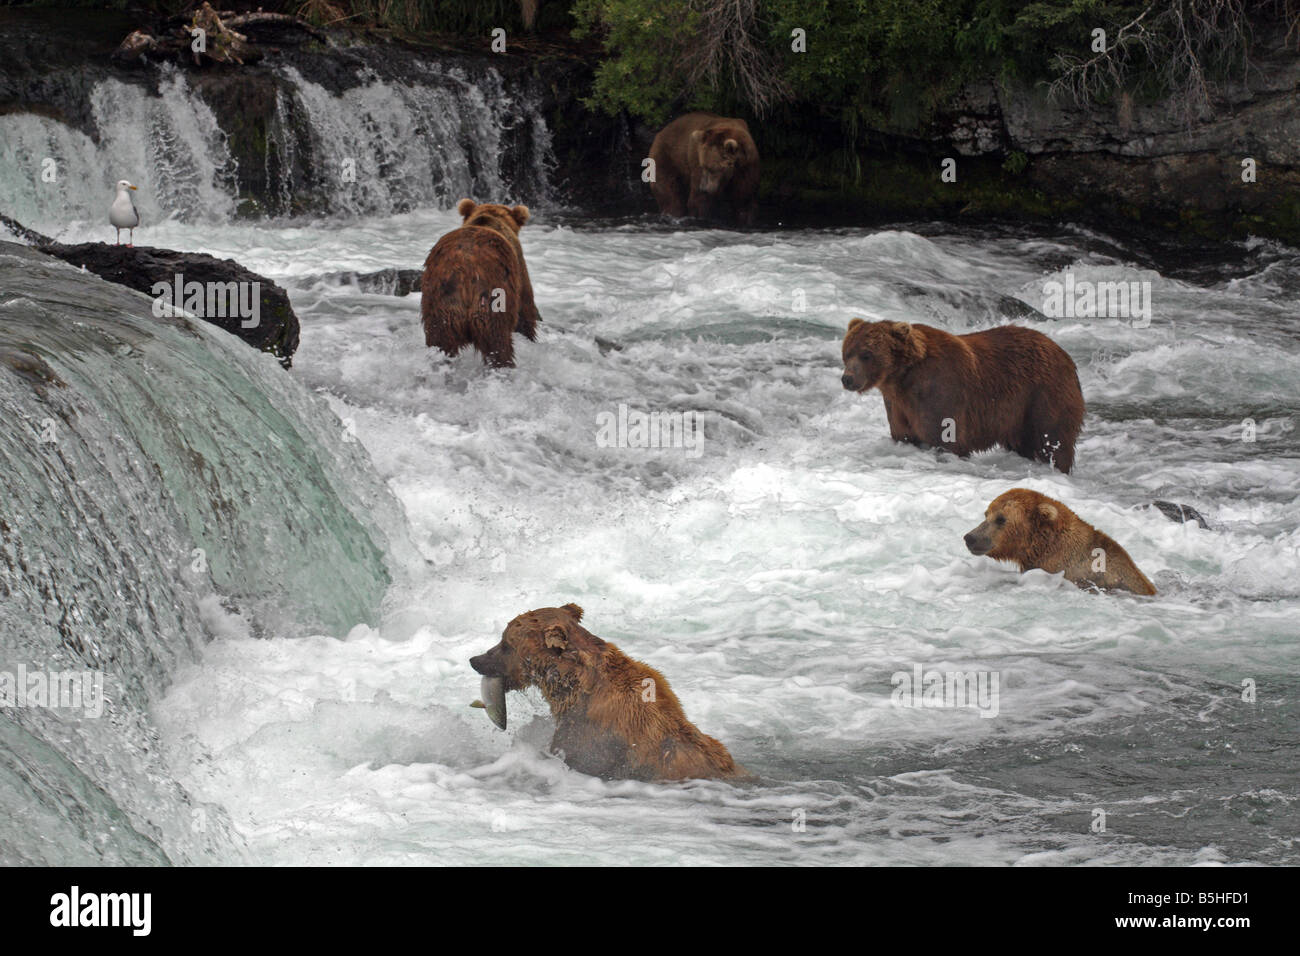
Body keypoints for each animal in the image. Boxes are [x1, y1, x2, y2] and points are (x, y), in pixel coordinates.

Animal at [420, 198, 541, 368]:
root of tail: (464, 270)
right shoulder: (519, 268)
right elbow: (525, 312)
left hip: (440, 303)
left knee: (440, 343)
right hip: (492, 298)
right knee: (498, 344)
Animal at [840, 319, 1084, 473]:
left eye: (866, 354)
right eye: (847, 352)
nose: (847, 379)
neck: (902, 378)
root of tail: (1063, 353)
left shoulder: (941, 394)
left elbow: (948, 441)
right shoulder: (898, 405)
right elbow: (904, 434)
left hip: (1043, 395)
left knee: (1053, 440)